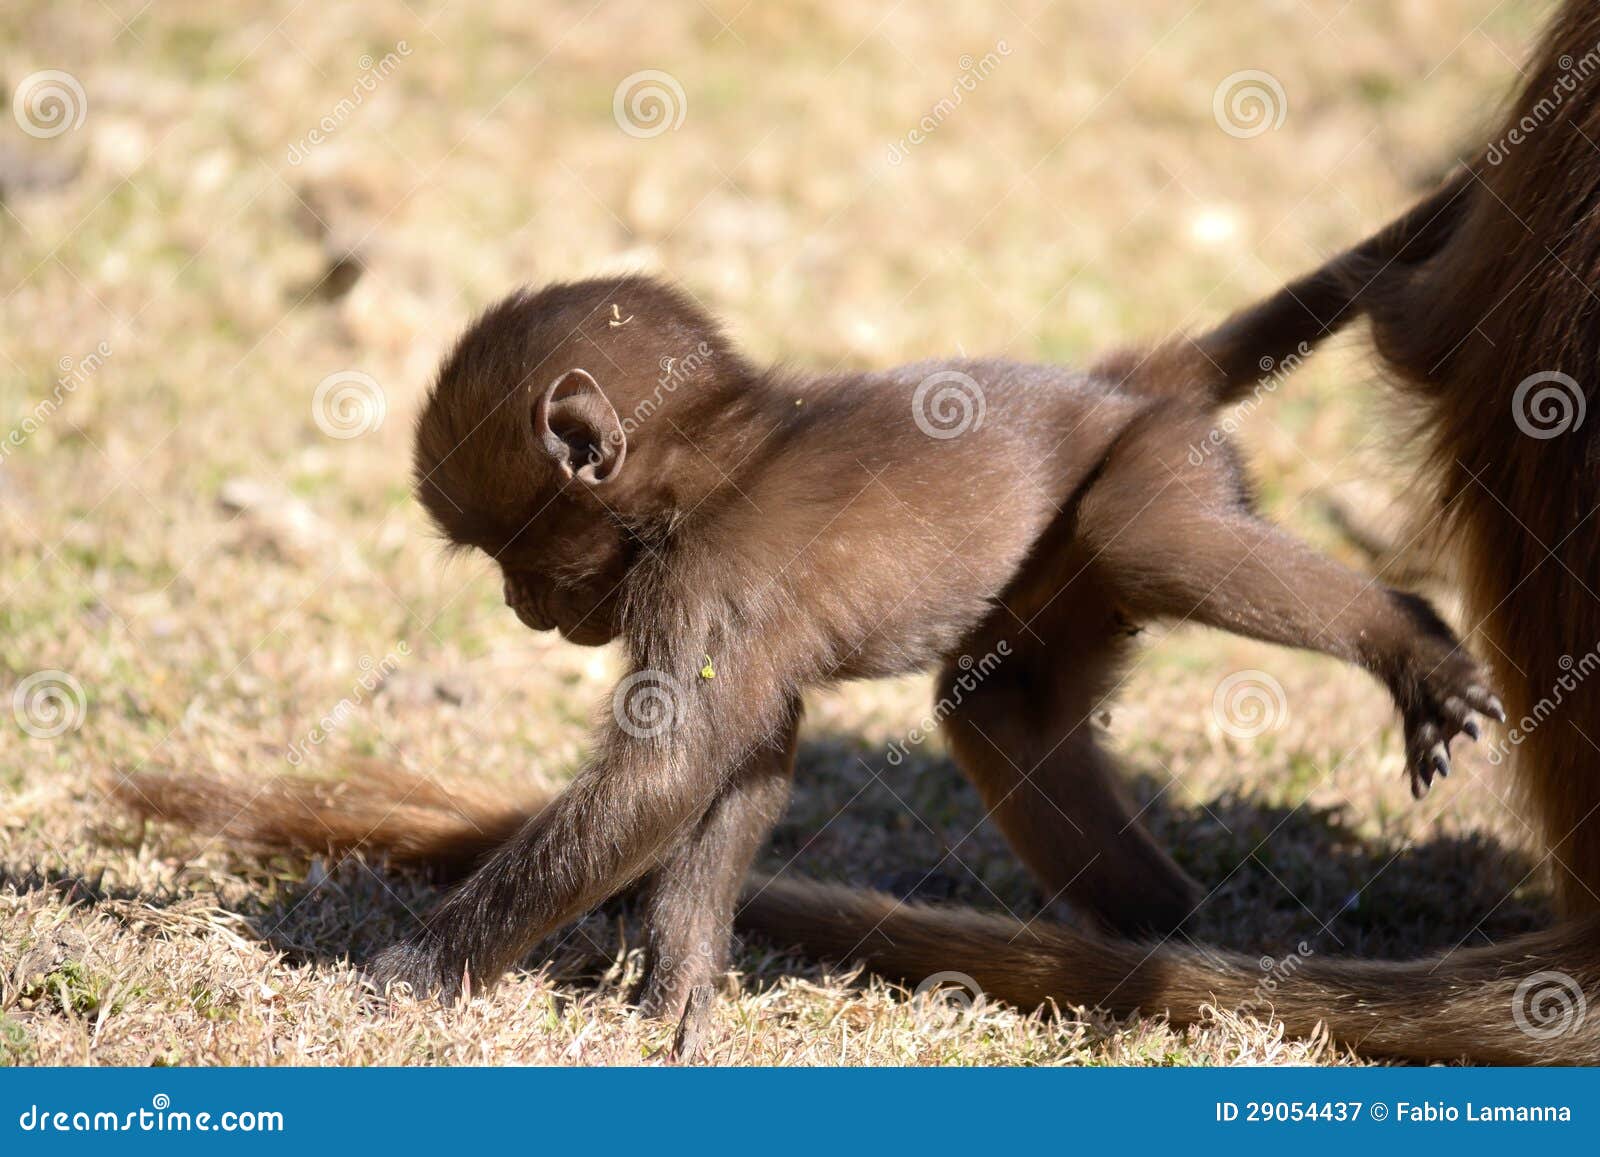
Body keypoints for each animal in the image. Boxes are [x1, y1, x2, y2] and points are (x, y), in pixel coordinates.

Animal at [119, 171, 1504, 1037]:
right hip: (1056, 575)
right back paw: (1151, 942)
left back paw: (1411, 642)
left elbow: (668, 770)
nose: (518, 609)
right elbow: (739, 759)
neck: (712, 467)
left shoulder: (703, 578)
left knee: (1144, 532)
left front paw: (419, 967)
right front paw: (678, 985)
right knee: (999, 710)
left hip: (1155, 468)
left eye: (508, 550)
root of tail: (1119, 386)